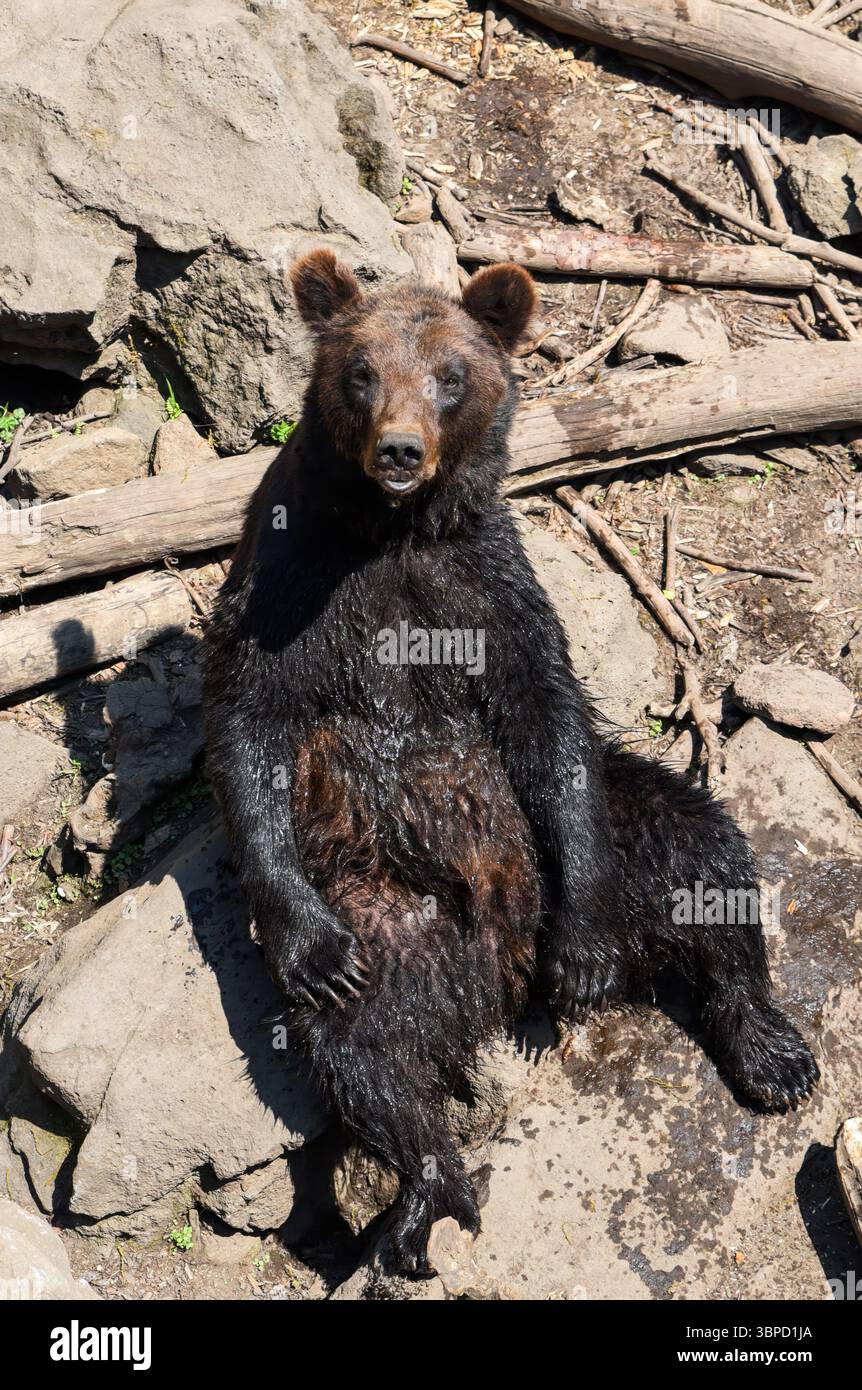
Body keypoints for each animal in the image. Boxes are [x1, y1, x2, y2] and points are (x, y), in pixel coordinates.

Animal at [202, 249, 819, 1275]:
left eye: (451, 376)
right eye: (361, 372)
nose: (400, 450)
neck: (393, 533)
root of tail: (505, 970)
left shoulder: (484, 580)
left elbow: (545, 703)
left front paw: (595, 955)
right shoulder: (293, 576)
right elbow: (249, 723)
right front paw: (308, 946)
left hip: (595, 839)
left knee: (698, 853)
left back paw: (768, 1048)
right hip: (389, 911)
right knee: (369, 1047)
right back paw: (422, 1192)